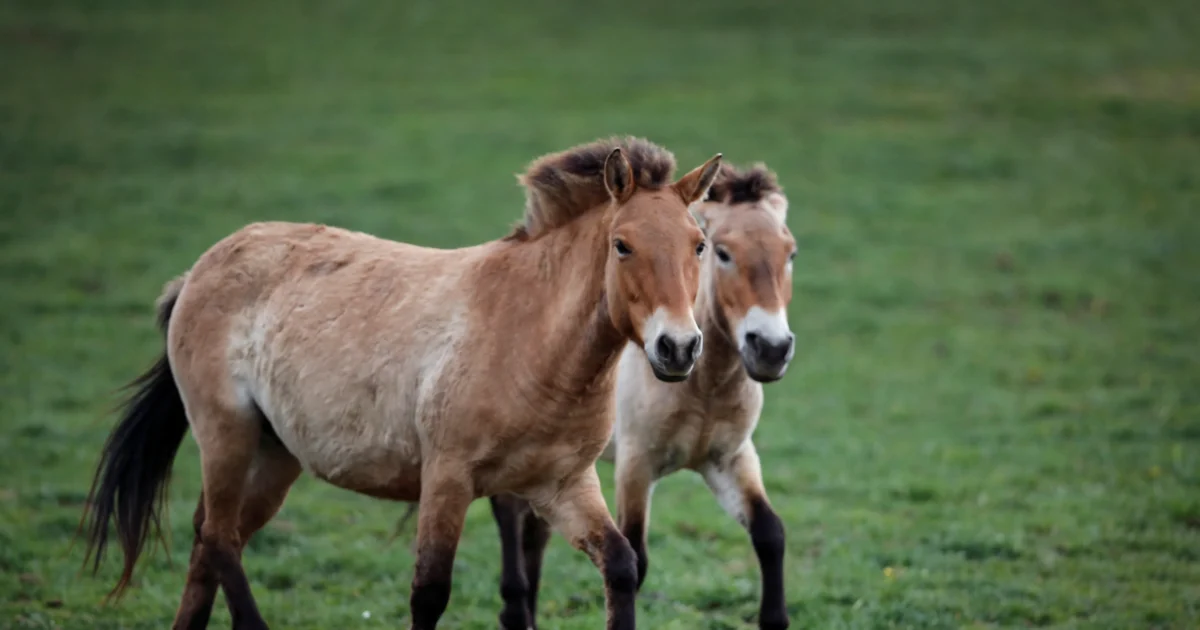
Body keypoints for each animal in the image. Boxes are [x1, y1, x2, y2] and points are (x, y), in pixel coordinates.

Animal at [78, 136, 724, 630]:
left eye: (699, 245)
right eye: (622, 245)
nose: (678, 347)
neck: (529, 339)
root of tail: (197, 271)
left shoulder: (561, 484)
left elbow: (620, 565)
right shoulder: (447, 478)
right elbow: (429, 593)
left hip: (273, 453)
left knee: (213, 538)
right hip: (225, 432)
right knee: (217, 536)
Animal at [487, 162, 798, 630]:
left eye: (790, 253)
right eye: (722, 252)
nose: (772, 349)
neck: (703, 387)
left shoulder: (730, 458)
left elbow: (770, 533)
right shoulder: (636, 465)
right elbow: (637, 557)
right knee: (508, 511)